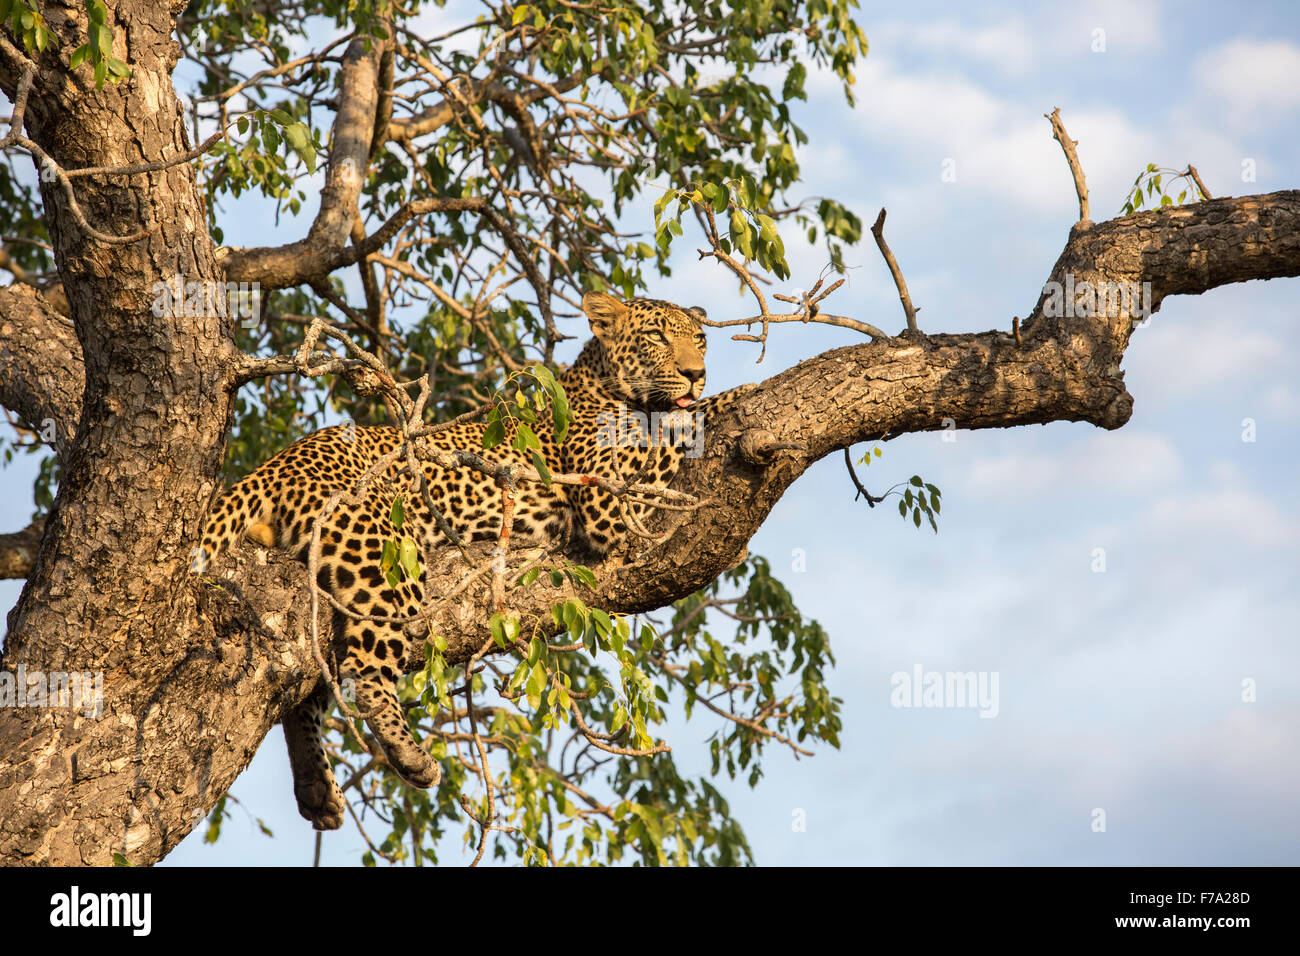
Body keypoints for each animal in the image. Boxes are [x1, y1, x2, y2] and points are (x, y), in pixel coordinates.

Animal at [198, 290, 710, 829]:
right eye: (656, 336)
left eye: (699, 338)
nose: (696, 372)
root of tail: (278, 463)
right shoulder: (607, 496)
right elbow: (680, 426)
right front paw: (712, 401)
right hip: (385, 555)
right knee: (367, 669)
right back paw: (410, 755)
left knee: (308, 688)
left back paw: (317, 789)